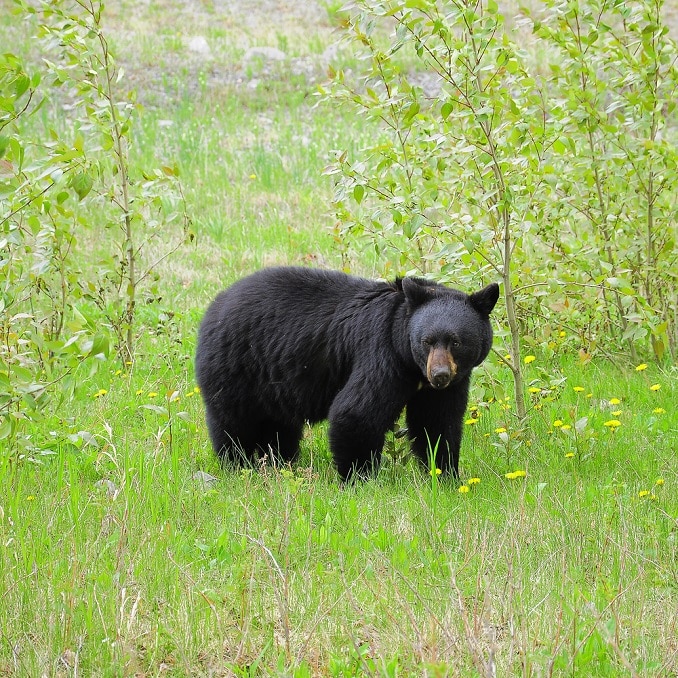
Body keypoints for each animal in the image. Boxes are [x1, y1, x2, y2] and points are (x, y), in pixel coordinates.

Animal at [195, 267, 499, 482]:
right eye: (427, 341)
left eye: (455, 341)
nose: (439, 375)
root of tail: (215, 303)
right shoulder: (381, 354)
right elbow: (357, 412)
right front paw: (359, 478)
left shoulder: (446, 386)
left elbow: (437, 423)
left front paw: (446, 475)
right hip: (236, 364)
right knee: (234, 422)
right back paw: (239, 464)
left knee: (279, 425)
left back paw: (279, 462)